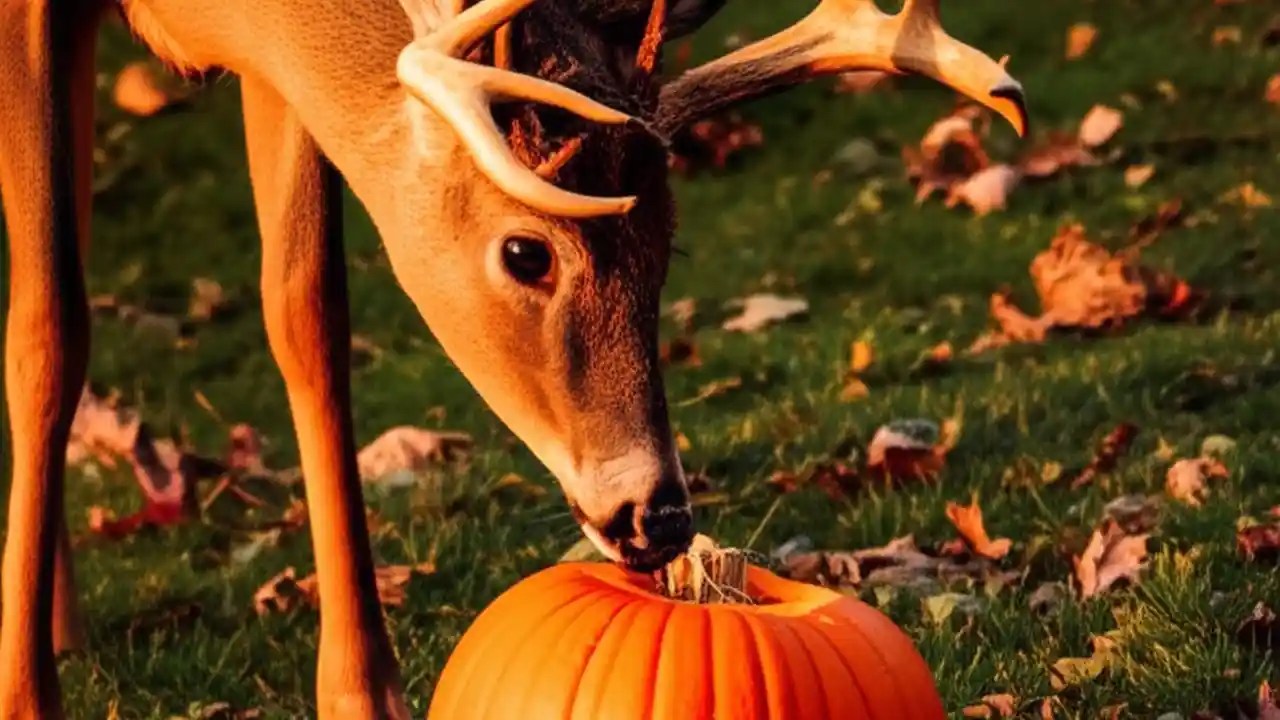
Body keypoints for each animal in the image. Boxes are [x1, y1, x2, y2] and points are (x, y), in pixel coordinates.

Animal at [0, 0, 1026, 716]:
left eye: (667, 243)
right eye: (527, 251)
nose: (658, 515)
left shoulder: (272, 69)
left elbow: (307, 313)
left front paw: (364, 695)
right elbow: (50, 330)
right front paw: (25, 703)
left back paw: (65, 621)